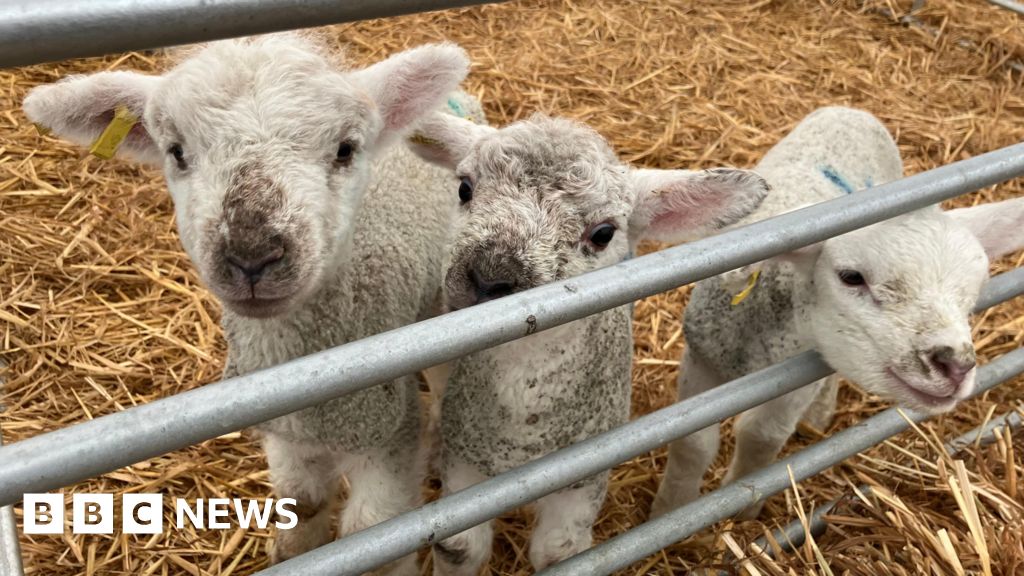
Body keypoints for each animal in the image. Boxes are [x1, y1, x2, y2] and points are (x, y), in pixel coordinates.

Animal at [24, 34, 473, 571]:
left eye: (345, 149)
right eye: (176, 151)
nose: (252, 255)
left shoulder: (387, 437)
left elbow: (374, 535)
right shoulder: (286, 431)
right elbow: (304, 506)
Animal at [407, 112, 770, 574]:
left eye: (602, 233)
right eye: (464, 188)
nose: (489, 277)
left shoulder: (584, 478)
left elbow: (558, 553)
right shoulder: (467, 466)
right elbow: (460, 548)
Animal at [651, 106, 1024, 519]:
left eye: (973, 292)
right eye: (851, 277)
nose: (956, 366)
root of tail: (853, 109)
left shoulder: (794, 378)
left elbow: (761, 438)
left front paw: (741, 512)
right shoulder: (701, 359)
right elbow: (693, 445)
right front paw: (670, 510)